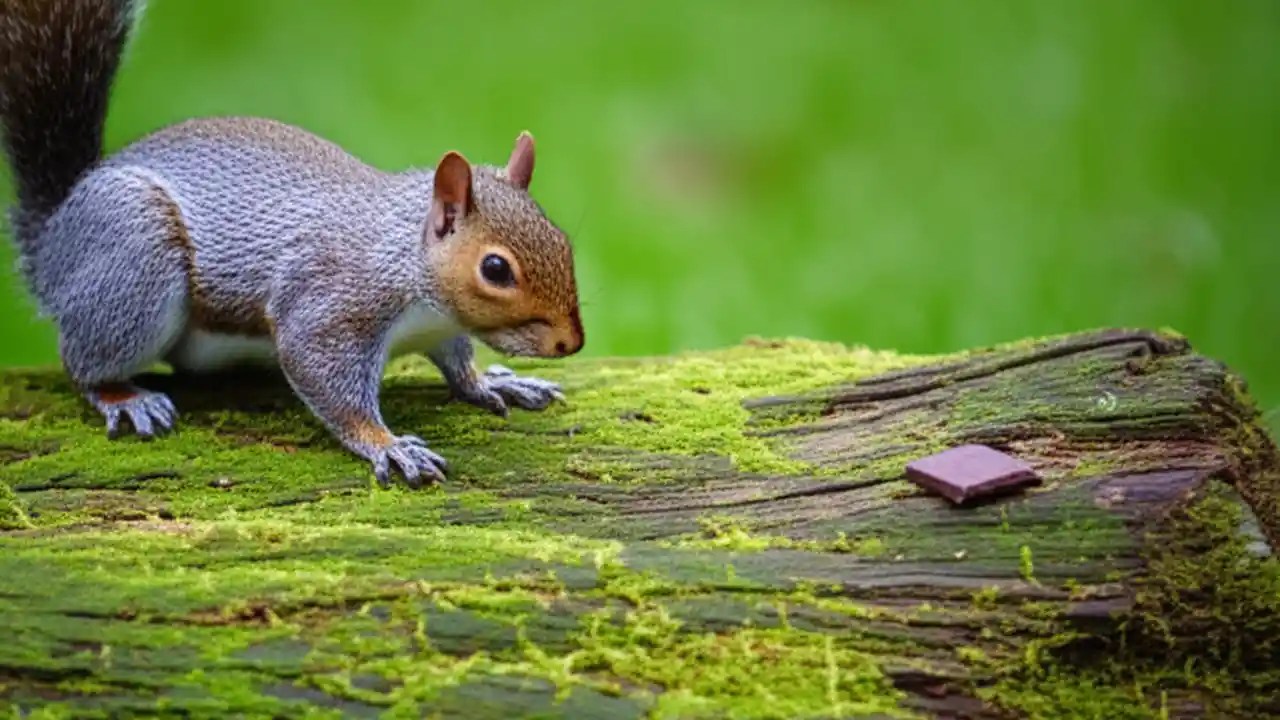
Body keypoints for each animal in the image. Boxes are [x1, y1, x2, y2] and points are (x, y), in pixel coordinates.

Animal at [0, 0, 585, 488]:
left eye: (563, 240)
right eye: (495, 269)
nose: (571, 343)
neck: (406, 261)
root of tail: (55, 241)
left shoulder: (441, 329)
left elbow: (459, 361)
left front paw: (491, 382)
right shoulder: (331, 303)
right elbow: (326, 378)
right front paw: (388, 445)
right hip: (136, 260)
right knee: (81, 359)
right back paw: (122, 396)